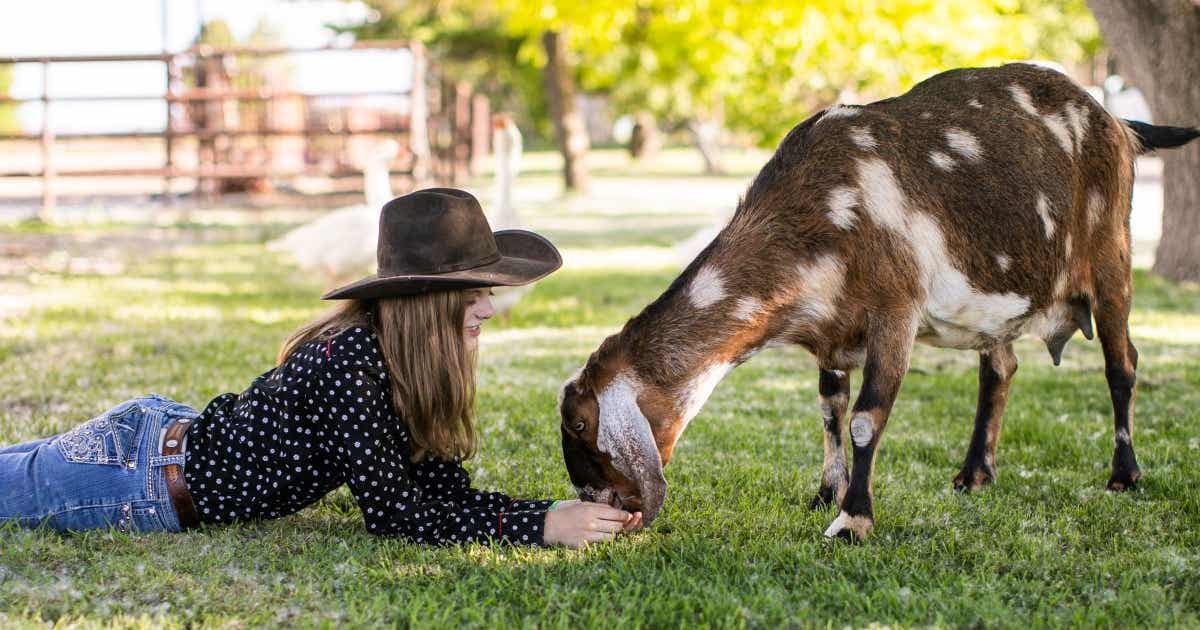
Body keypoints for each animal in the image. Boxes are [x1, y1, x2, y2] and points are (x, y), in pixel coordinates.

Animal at [558, 63, 1199, 540]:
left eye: (582, 425)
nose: (607, 501)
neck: (820, 210)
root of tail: (1116, 119)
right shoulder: (832, 336)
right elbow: (829, 410)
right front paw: (825, 494)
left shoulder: (896, 309)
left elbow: (866, 417)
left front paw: (853, 519)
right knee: (1001, 367)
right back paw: (974, 474)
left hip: (1112, 257)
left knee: (1122, 365)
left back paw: (1124, 475)